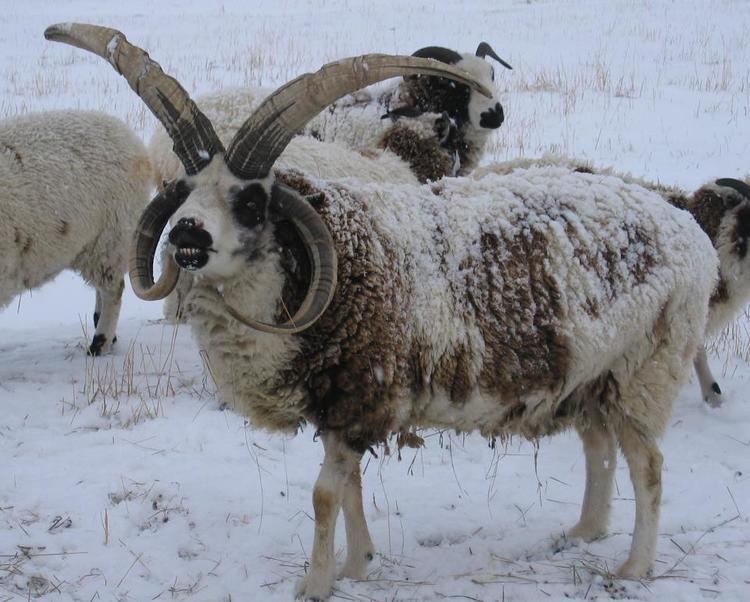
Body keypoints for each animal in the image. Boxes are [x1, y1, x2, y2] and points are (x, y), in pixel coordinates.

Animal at [46, 23, 719, 601]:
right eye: (185, 193)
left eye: (252, 201)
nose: (187, 236)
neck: (344, 257)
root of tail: (688, 231)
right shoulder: (343, 400)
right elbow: (349, 490)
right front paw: (358, 563)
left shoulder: (360, 391)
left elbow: (324, 495)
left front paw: (316, 583)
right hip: (592, 376)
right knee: (599, 448)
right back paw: (583, 532)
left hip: (645, 371)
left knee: (649, 466)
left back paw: (634, 566)